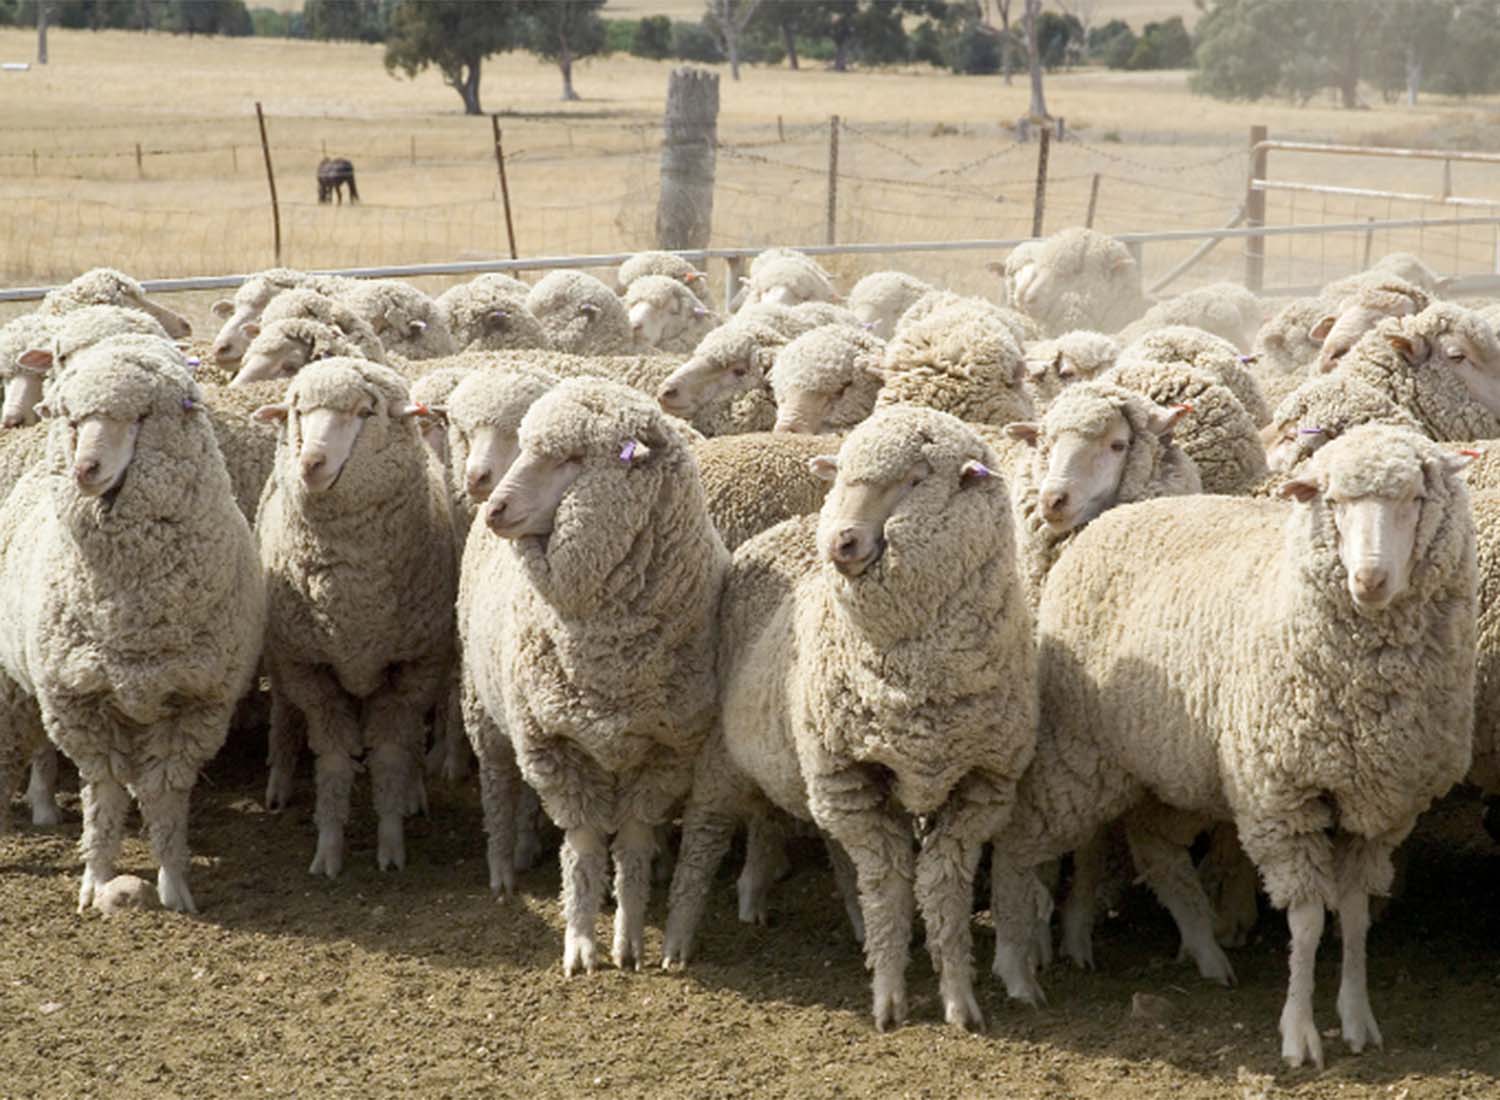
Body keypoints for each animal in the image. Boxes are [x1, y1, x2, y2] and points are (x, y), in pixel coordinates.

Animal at [0, 337, 264, 909]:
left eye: (141, 415)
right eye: (75, 419)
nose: (85, 469)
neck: (134, 612)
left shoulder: (197, 702)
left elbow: (163, 796)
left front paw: (173, 883)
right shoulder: (78, 701)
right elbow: (104, 795)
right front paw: (96, 878)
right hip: (16, 682)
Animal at [254, 358, 455, 877]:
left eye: (366, 412)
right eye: (298, 411)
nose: (310, 464)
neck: (352, 600)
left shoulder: (410, 668)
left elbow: (389, 755)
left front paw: (391, 841)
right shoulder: (311, 668)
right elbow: (333, 761)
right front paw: (328, 847)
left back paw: (414, 790)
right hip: (281, 659)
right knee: (283, 713)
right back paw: (279, 781)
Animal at [461, 377, 727, 973]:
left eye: (572, 458)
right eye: (528, 448)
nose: (495, 507)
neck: (613, 656)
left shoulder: (666, 750)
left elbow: (632, 842)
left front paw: (627, 935)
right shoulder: (554, 743)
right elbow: (582, 847)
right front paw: (581, 943)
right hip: (481, 704)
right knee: (496, 785)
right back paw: (501, 868)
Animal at [988, 425, 1476, 1068]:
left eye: (1415, 500)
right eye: (1334, 502)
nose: (1369, 581)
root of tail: (1113, 517)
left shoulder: (1378, 809)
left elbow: (1353, 917)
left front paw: (1356, 1017)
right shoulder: (1281, 799)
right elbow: (1308, 921)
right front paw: (1299, 1033)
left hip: (1172, 766)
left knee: (1156, 849)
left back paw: (1207, 953)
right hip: (1077, 753)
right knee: (1017, 844)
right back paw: (1015, 965)